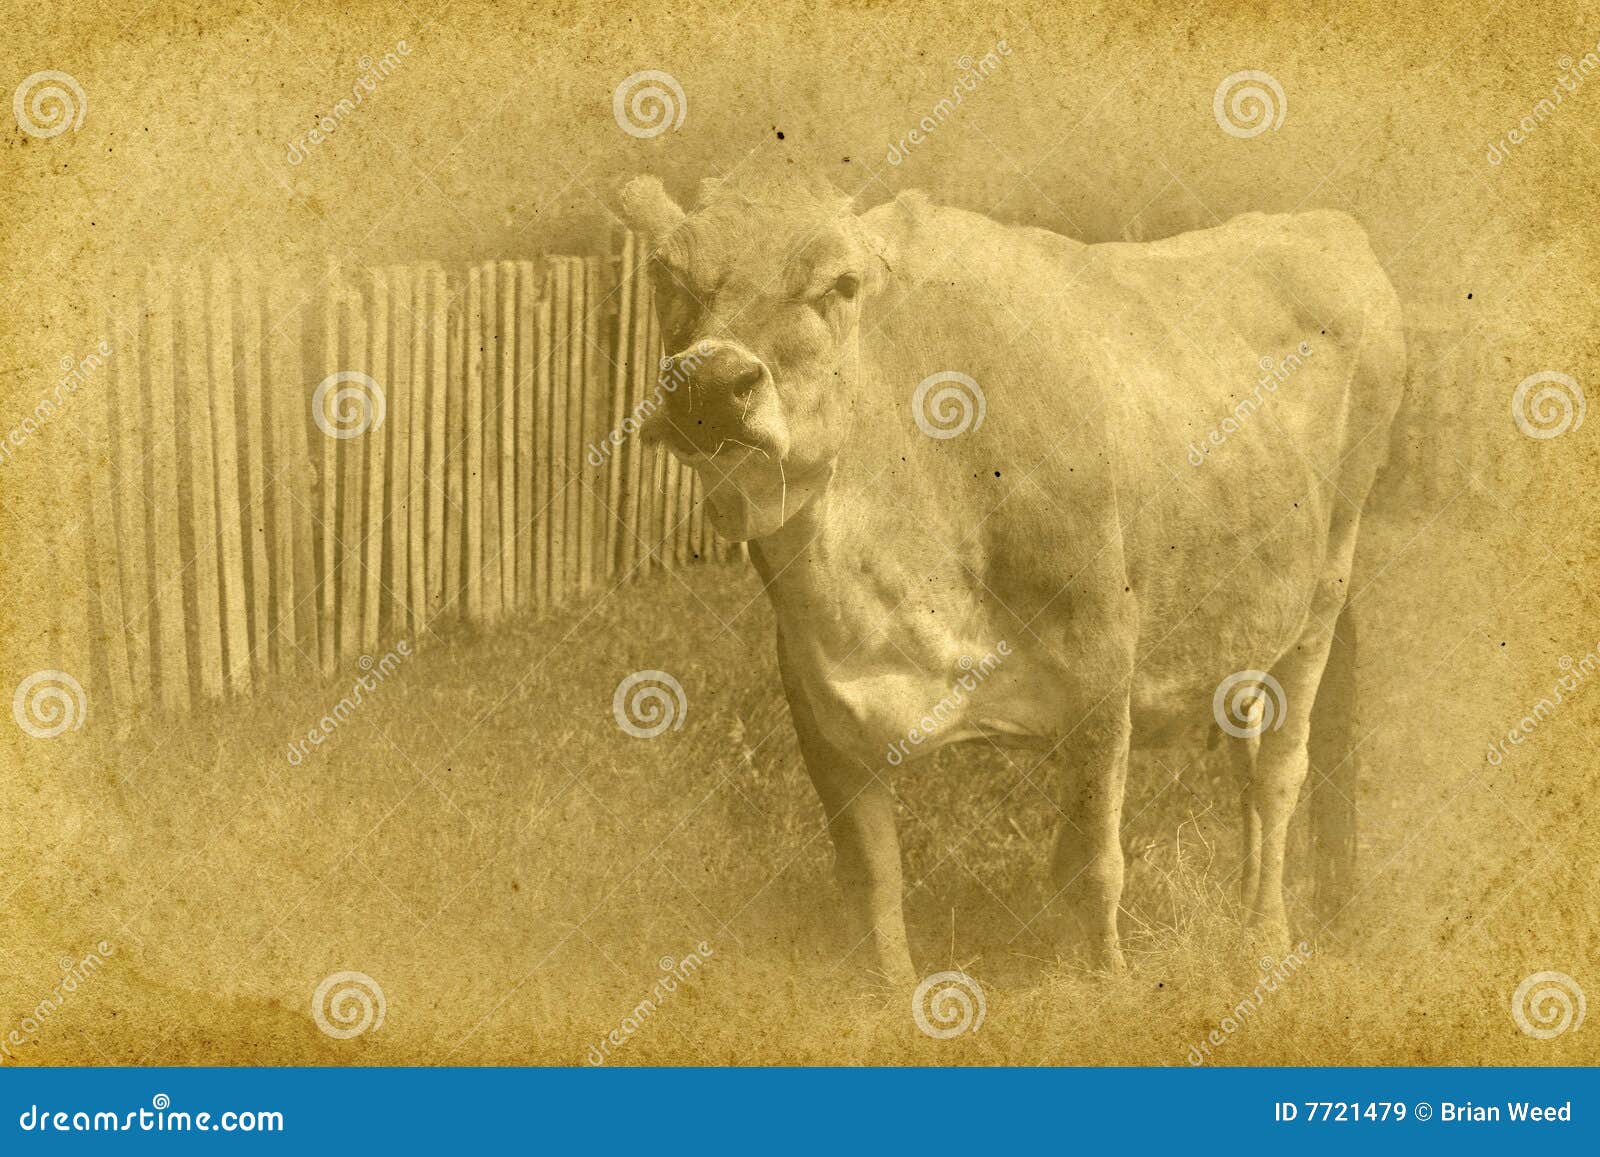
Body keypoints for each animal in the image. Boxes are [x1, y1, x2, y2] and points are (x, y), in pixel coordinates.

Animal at [619, 171, 1404, 985]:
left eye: (841, 284)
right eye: (666, 276)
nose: (710, 385)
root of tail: (1324, 222)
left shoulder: (1103, 657)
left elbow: (1097, 865)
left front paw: (1110, 982)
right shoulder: (816, 690)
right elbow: (872, 876)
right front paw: (893, 992)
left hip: (1323, 588)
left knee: (1279, 771)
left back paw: (1265, 934)